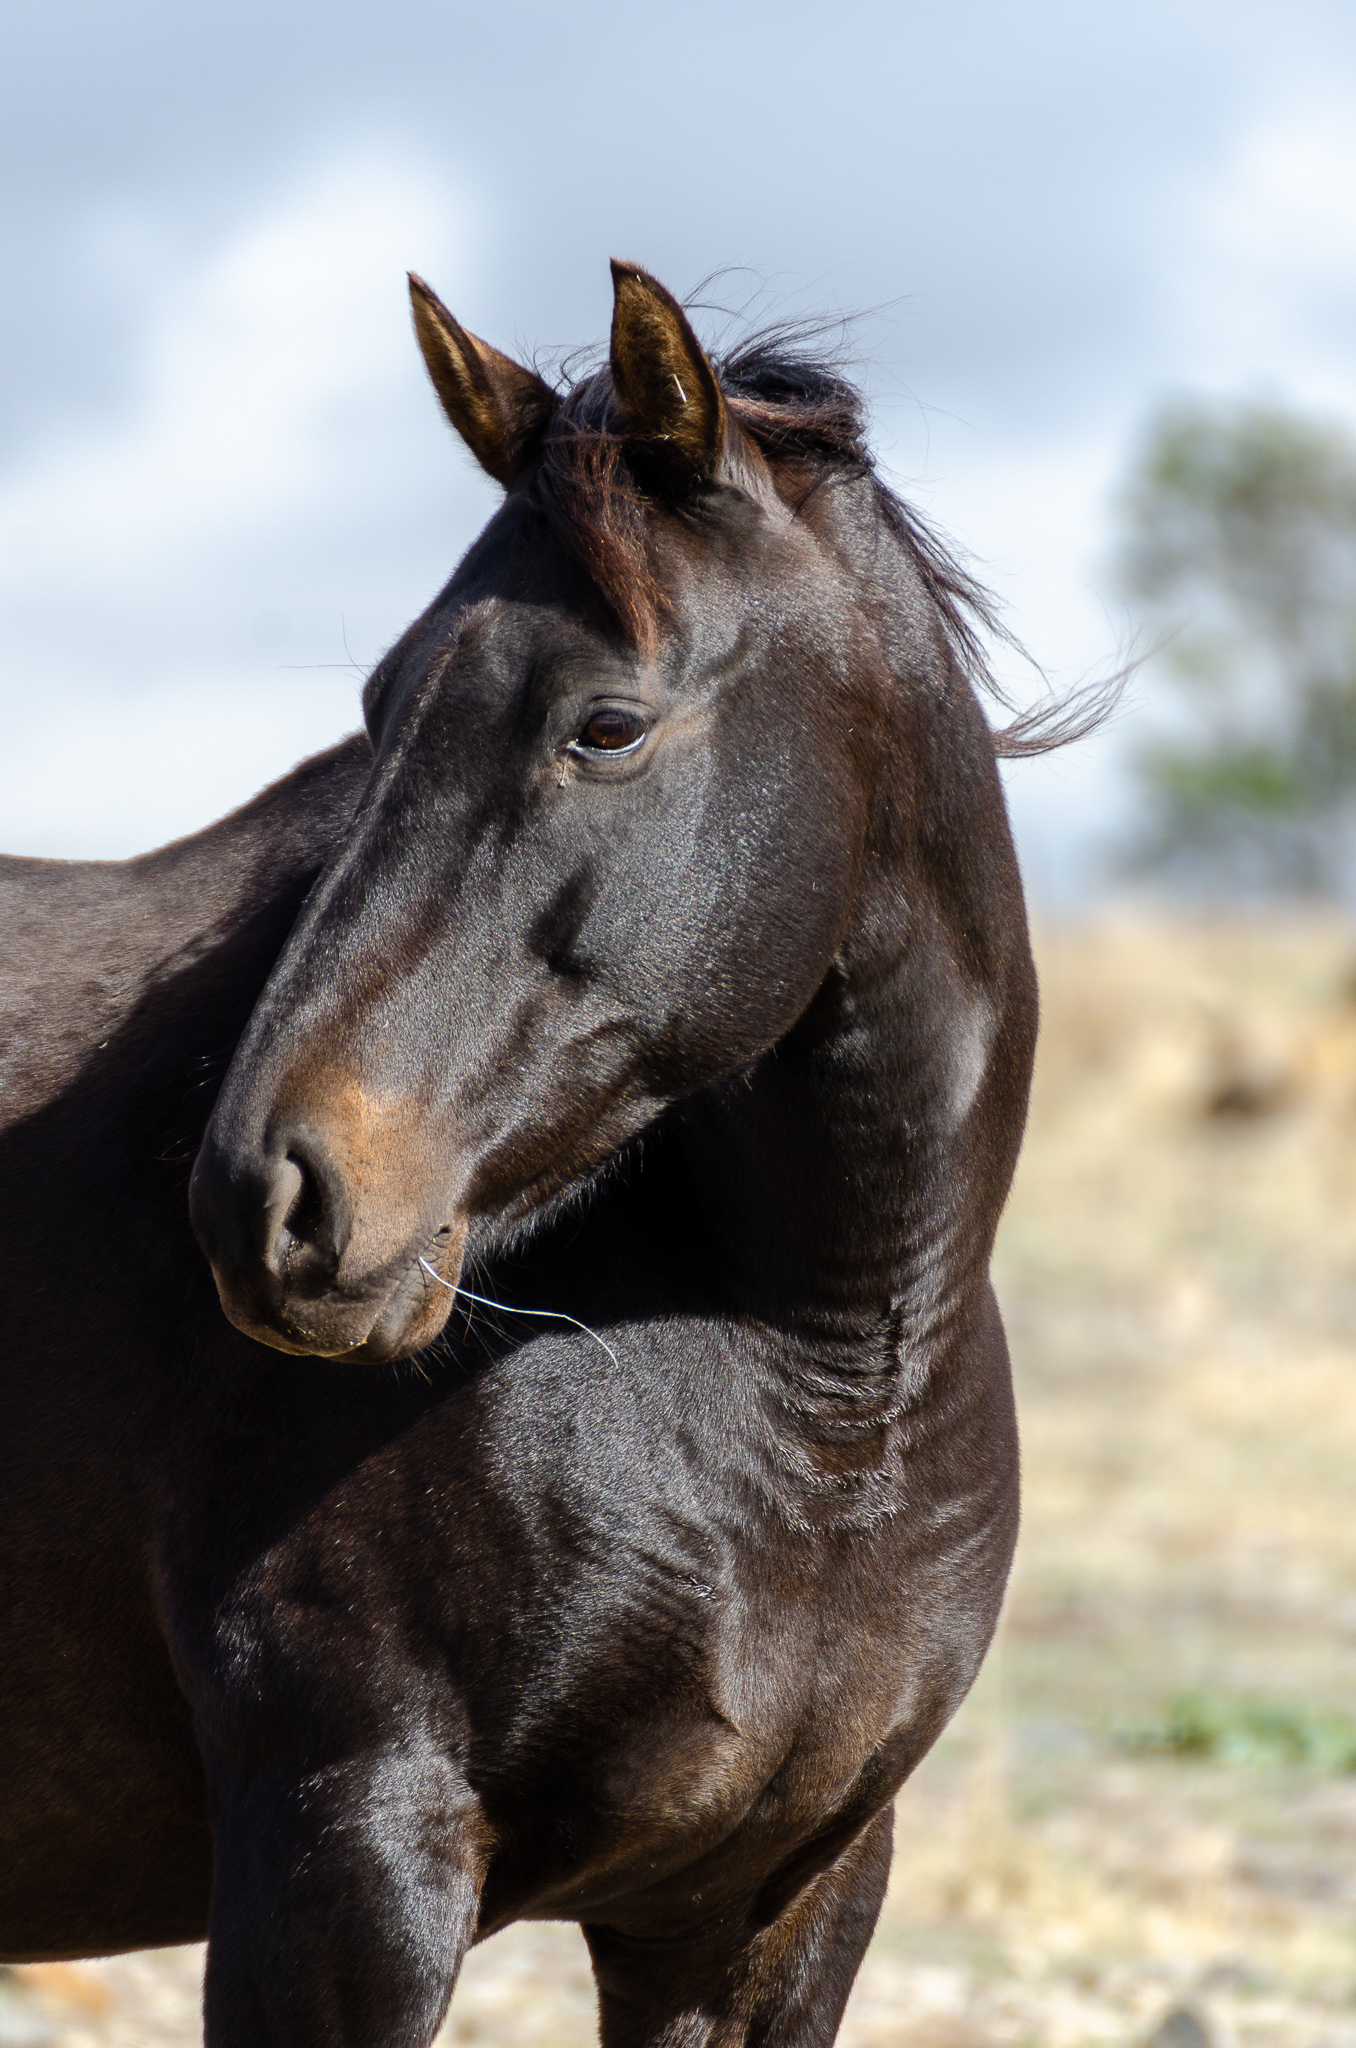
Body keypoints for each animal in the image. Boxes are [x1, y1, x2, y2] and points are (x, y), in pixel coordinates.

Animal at [0, 260, 1076, 2046]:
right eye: (382, 704)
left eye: (607, 725)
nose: (260, 1196)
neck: (820, 1369)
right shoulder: (347, 1866)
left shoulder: (771, 1909)